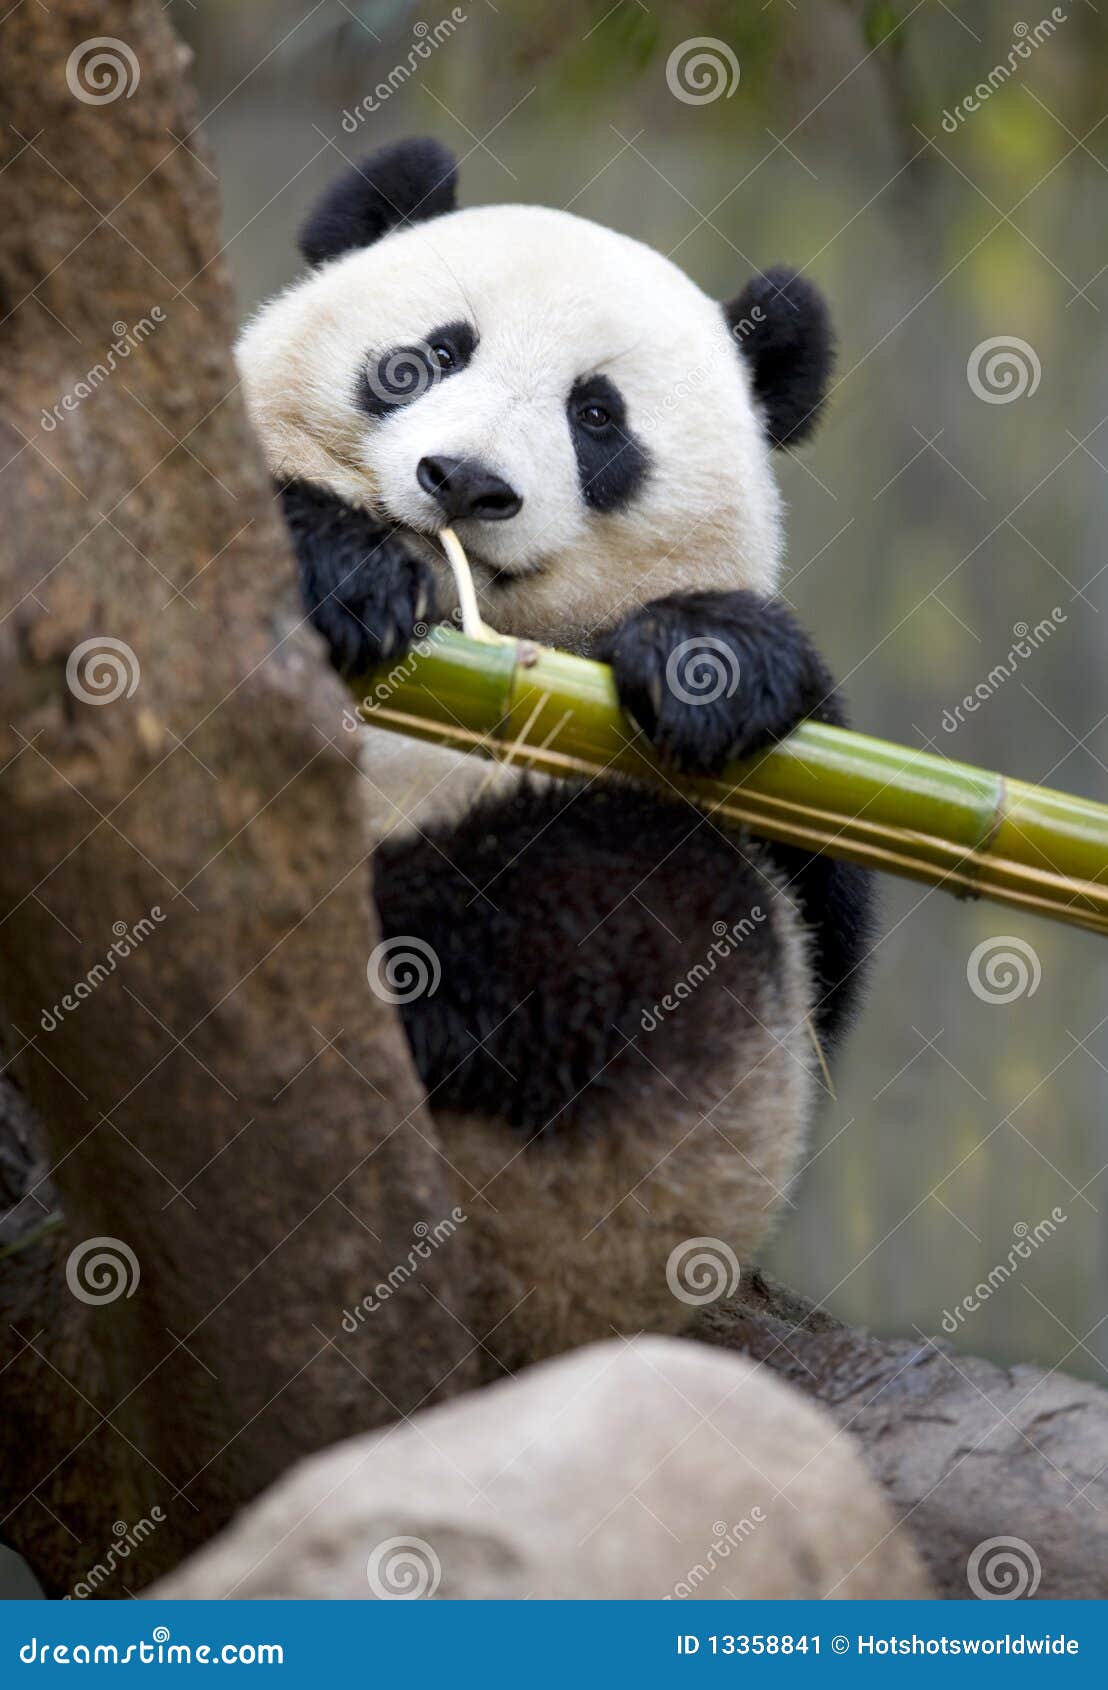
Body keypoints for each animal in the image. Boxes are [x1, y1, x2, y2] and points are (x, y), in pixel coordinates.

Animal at [236, 137, 873, 1375]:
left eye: (597, 416)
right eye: (428, 356)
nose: (464, 482)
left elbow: (827, 928)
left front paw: (710, 660)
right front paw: (345, 566)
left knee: (620, 902)